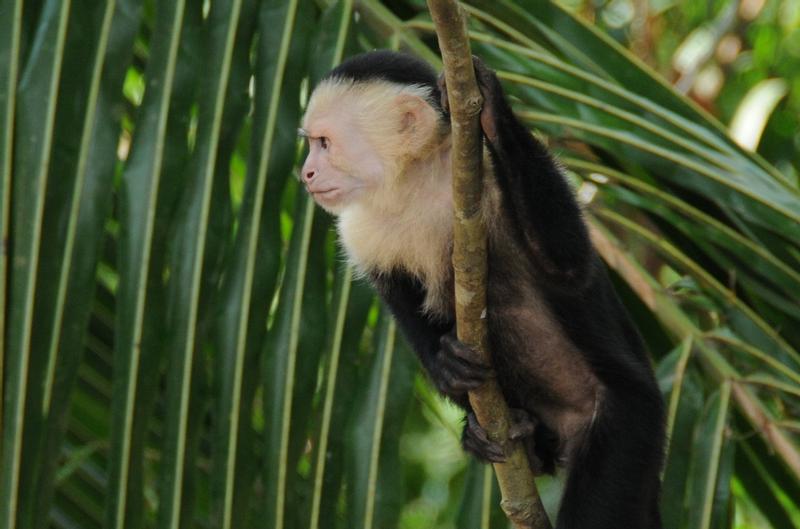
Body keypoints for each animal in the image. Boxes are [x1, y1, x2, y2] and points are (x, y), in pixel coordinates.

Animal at [299, 50, 665, 529]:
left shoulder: (485, 177)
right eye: (311, 144)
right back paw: (518, 435)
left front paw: (492, 109)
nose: (305, 173)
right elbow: (405, 306)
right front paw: (446, 365)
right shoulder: (361, 232)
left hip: (631, 422)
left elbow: (567, 264)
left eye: (324, 144)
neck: (414, 182)